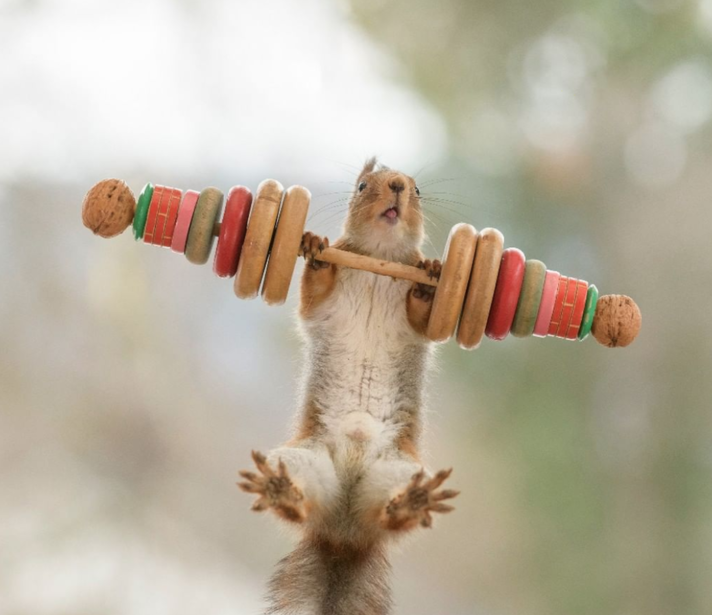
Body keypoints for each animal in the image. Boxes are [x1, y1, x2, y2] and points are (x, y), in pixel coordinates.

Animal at [238, 157, 459, 615]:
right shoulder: (324, 303)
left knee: (391, 516)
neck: (379, 258)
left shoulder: (417, 321)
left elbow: (422, 314)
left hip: (394, 471)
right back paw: (281, 490)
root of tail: (343, 537)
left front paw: (430, 273)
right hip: (306, 462)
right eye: (361, 186)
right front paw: (315, 247)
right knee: (300, 507)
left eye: (418, 190)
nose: (397, 185)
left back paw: (413, 502)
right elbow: (314, 292)